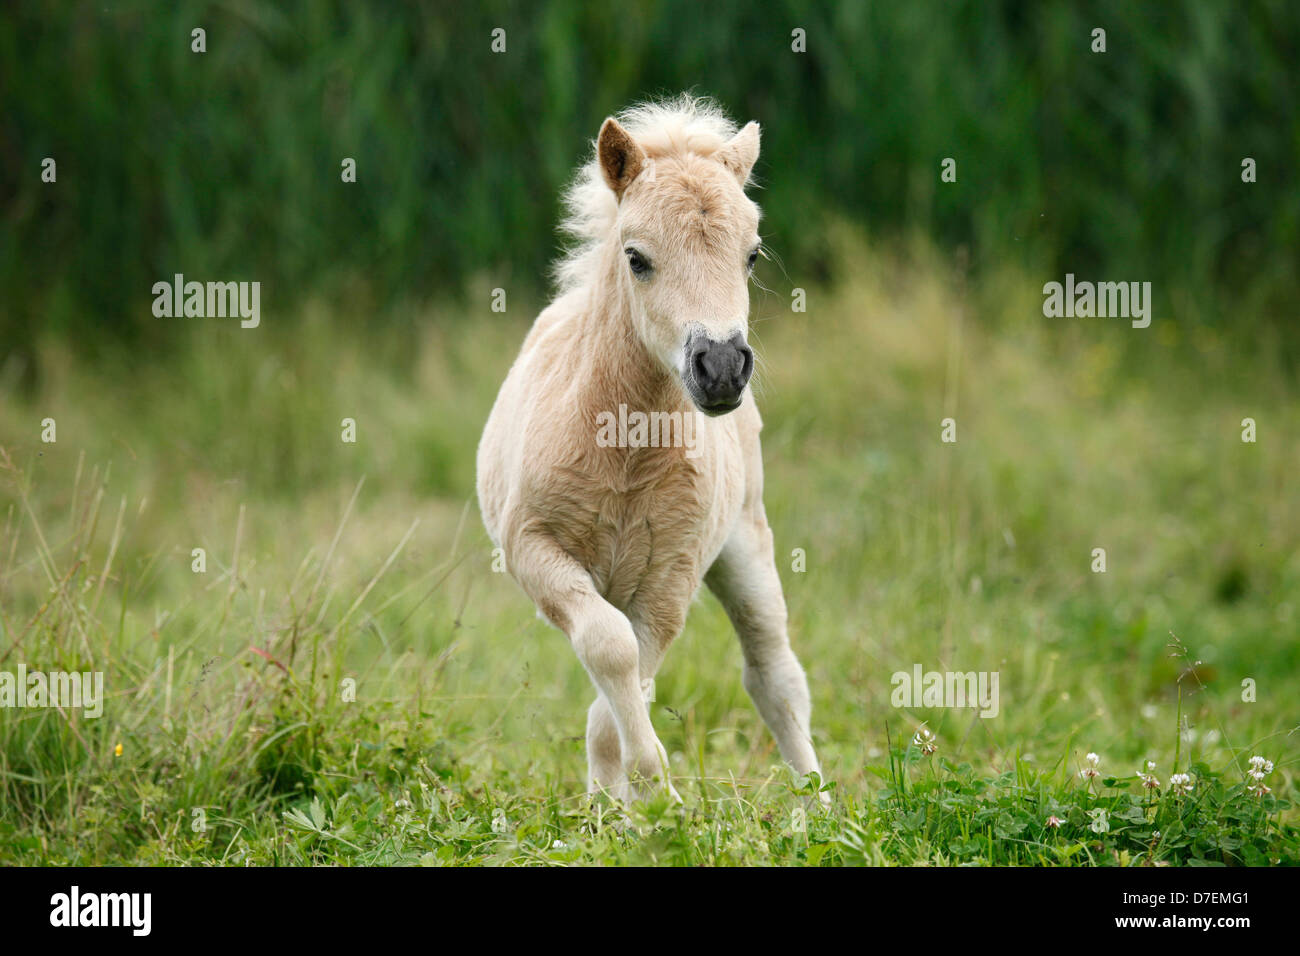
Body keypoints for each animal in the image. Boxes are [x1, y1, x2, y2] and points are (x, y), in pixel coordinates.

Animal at [477, 96, 826, 804]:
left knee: (774, 675)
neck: (623, 453)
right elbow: (610, 651)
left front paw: (652, 796)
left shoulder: (672, 576)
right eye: (637, 257)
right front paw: (637, 796)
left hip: (745, 544)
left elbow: (623, 686)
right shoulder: (531, 547)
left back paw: (824, 805)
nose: (722, 367)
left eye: (752, 255)